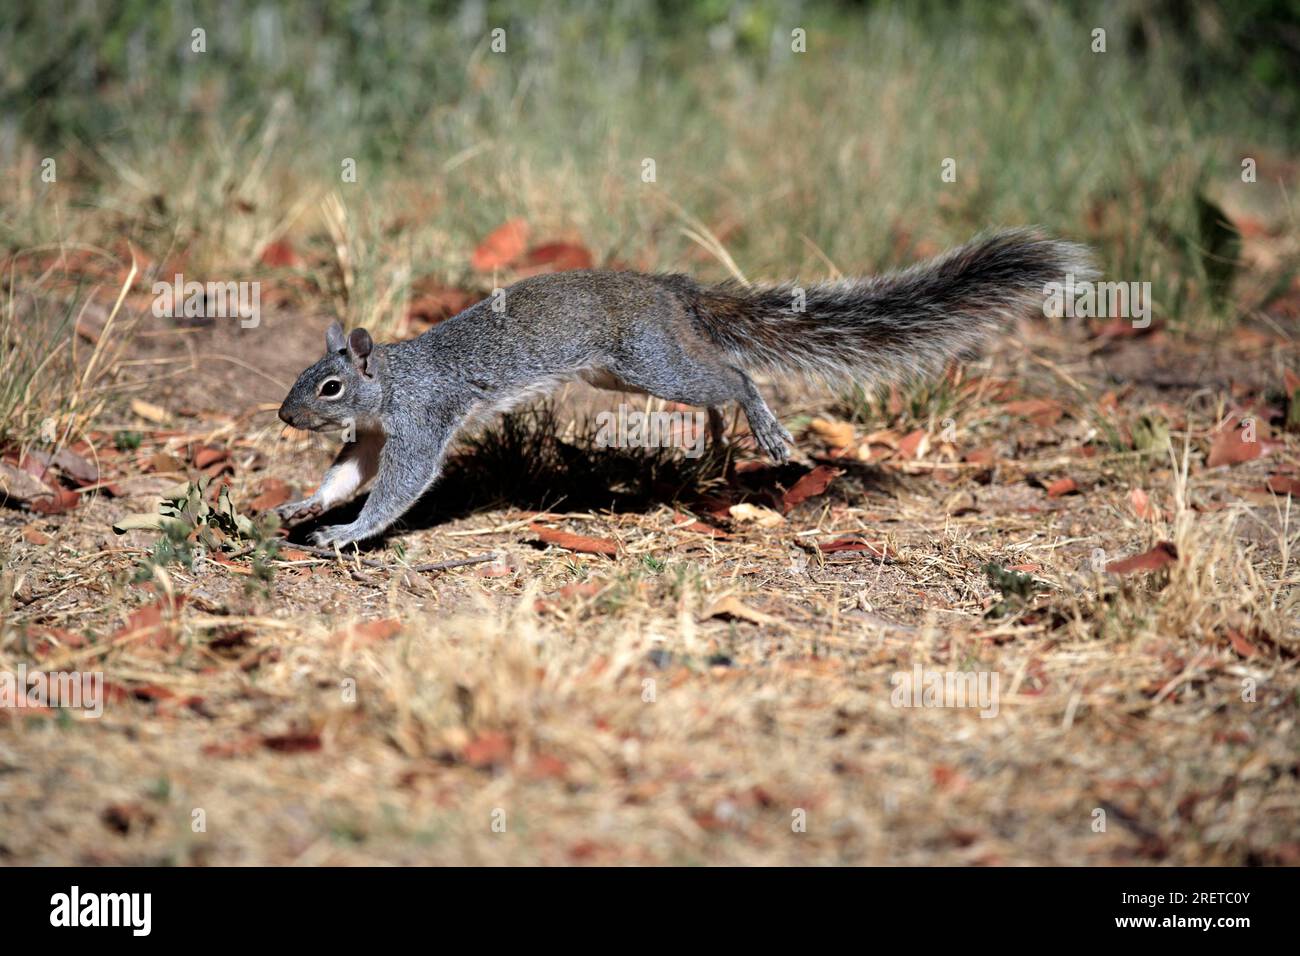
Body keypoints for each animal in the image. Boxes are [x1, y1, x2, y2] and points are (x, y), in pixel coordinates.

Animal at [275, 228, 1091, 546]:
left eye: (329, 388)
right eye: (305, 380)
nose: (284, 416)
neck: (391, 382)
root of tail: (670, 291)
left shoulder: (421, 420)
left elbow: (400, 485)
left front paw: (349, 533)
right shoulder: (374, 435)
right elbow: (350, 471)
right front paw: (306, 505)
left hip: (648, 363)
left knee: (730, 372)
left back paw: (760, 425)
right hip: (627, 370)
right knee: (714, 386)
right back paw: (719, 442)